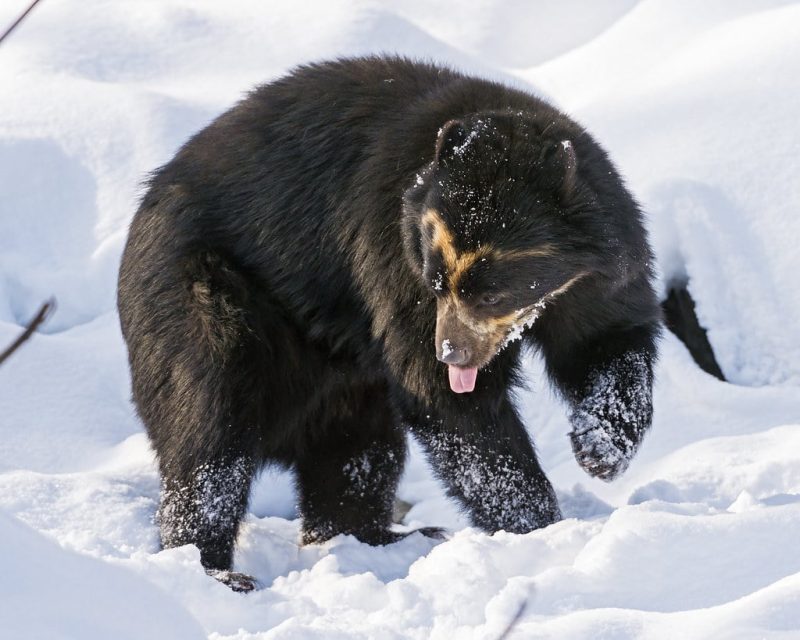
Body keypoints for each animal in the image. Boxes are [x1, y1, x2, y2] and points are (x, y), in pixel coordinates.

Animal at [117, 56, 661, 591]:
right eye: (436, 284)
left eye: (492, 293)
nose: (452, 353)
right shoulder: (390, 254)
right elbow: (442, 400)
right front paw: (539, 528)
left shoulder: (597, 277)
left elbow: (606, 341)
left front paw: (601, 448)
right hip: (198, 294)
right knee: (210, 422)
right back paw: (214, 570)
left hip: (343, 367)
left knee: (356, 448)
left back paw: (380, 537)